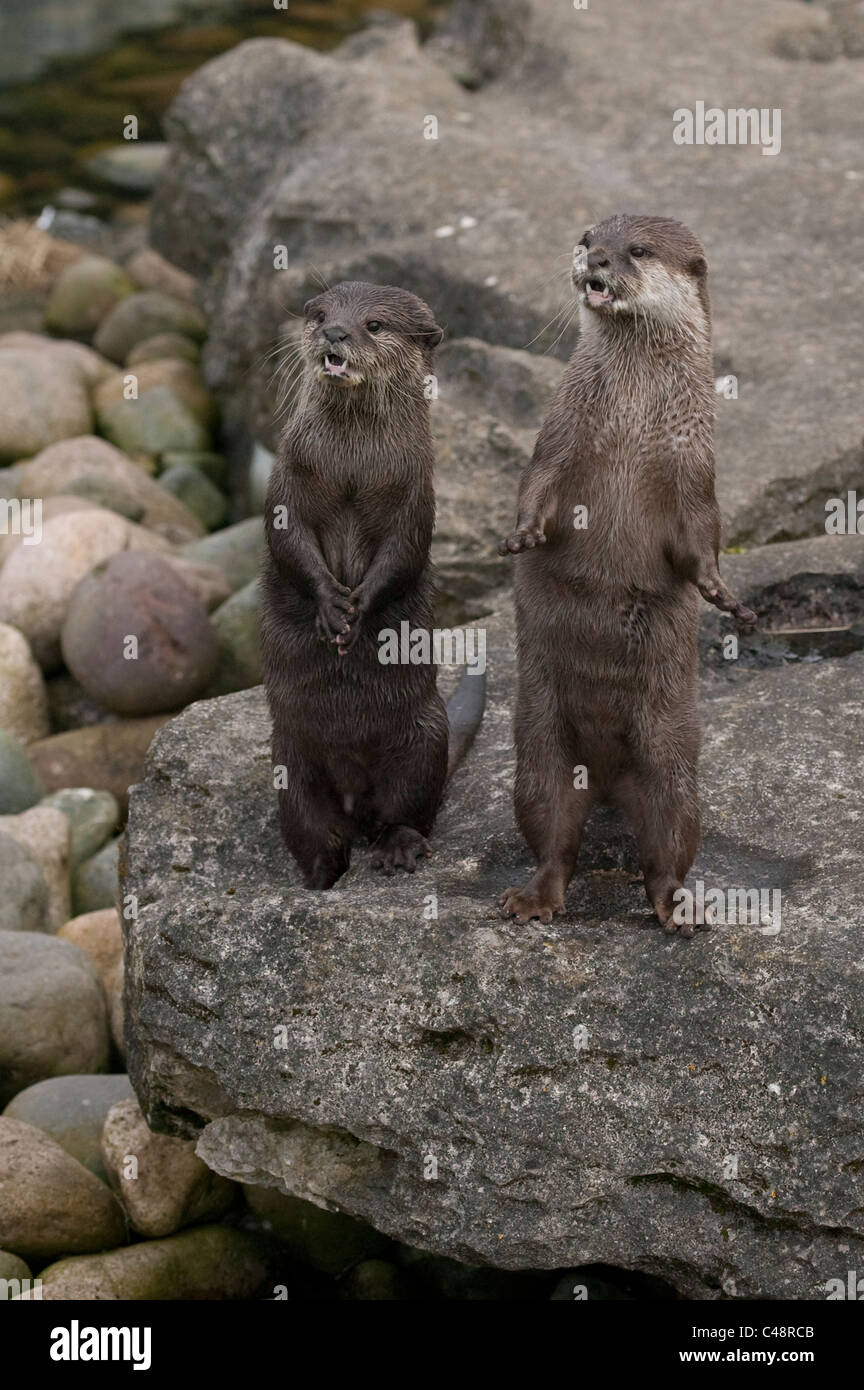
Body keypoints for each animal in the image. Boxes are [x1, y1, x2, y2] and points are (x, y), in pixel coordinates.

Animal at [261, 280, 483, 890]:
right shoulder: (289, 473)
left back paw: (396, 848)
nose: (335, 333)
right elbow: (287, 542)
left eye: (375, 325)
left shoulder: (416, 490)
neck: (351, 468)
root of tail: (355, 800)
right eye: (320, 314)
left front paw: (356, 613)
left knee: (406, 811)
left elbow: (402, 556)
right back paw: (320, 875)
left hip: (423, 737)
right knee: (316, 829)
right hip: (288, 757)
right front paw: (331, 606)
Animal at [498, 214, 755, 935]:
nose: (597, 257)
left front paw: (722, 594)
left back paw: (679, 908)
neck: (634, 422)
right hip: (539, 743)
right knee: (554, 835)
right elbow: (537, 485)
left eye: (637, 249)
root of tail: (609, 778)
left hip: (671, 754)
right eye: (590, 234)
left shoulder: (695, 468)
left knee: (667, 841)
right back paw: (534, 898)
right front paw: (523, 535)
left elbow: (701, 536)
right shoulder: (561, 433)